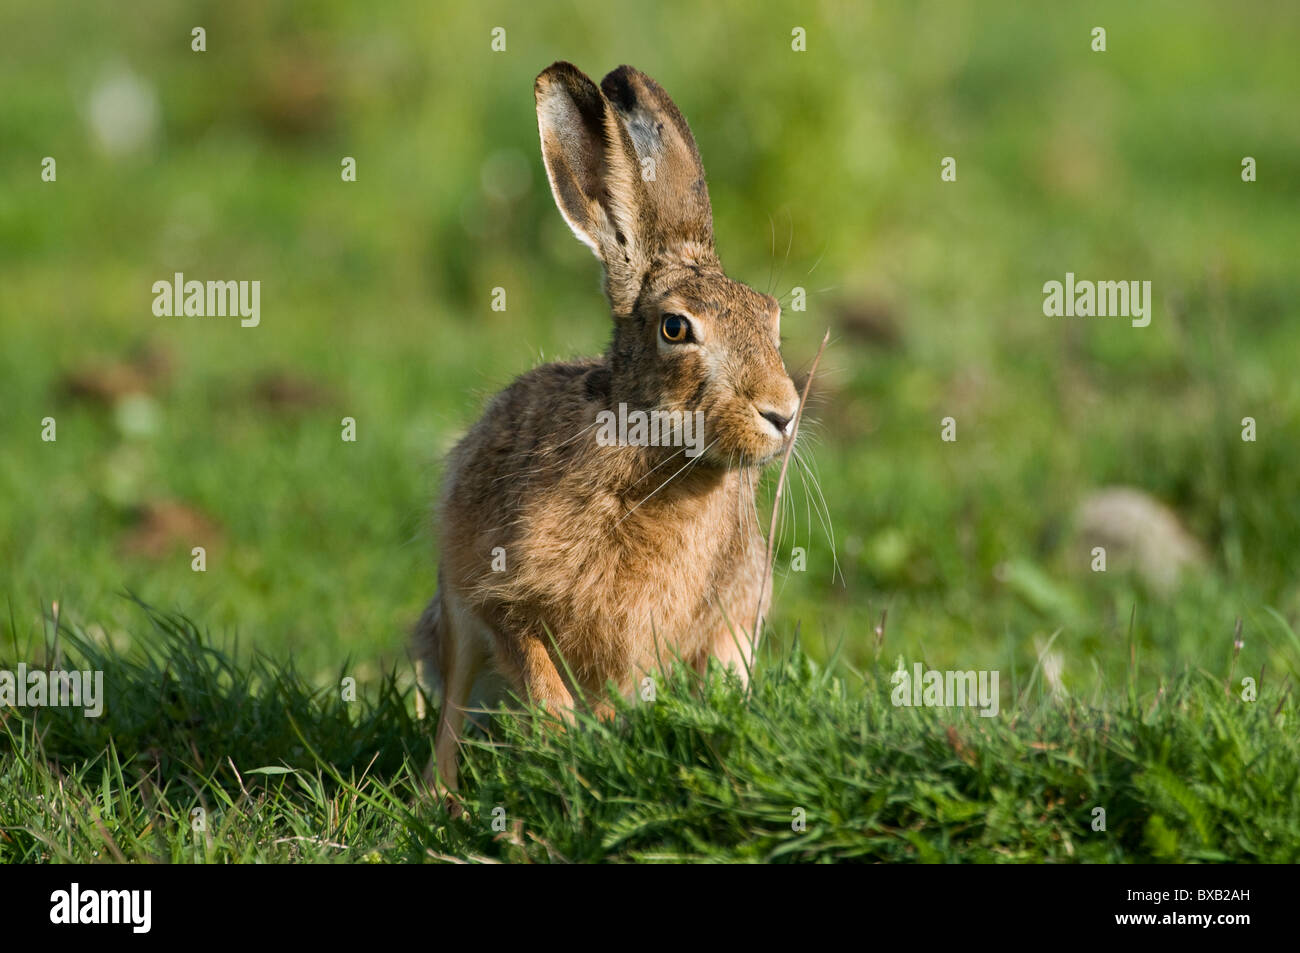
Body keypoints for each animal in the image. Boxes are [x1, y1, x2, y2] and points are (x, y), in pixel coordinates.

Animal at [414, 62, 801, 796]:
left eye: (771, 317)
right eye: (675, 328)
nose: (783, 413)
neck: (650, 460)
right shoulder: (501, 594)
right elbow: (533, 661)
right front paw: (563, 735)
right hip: (454, 611)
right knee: (451, 706)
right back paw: (440, 802)